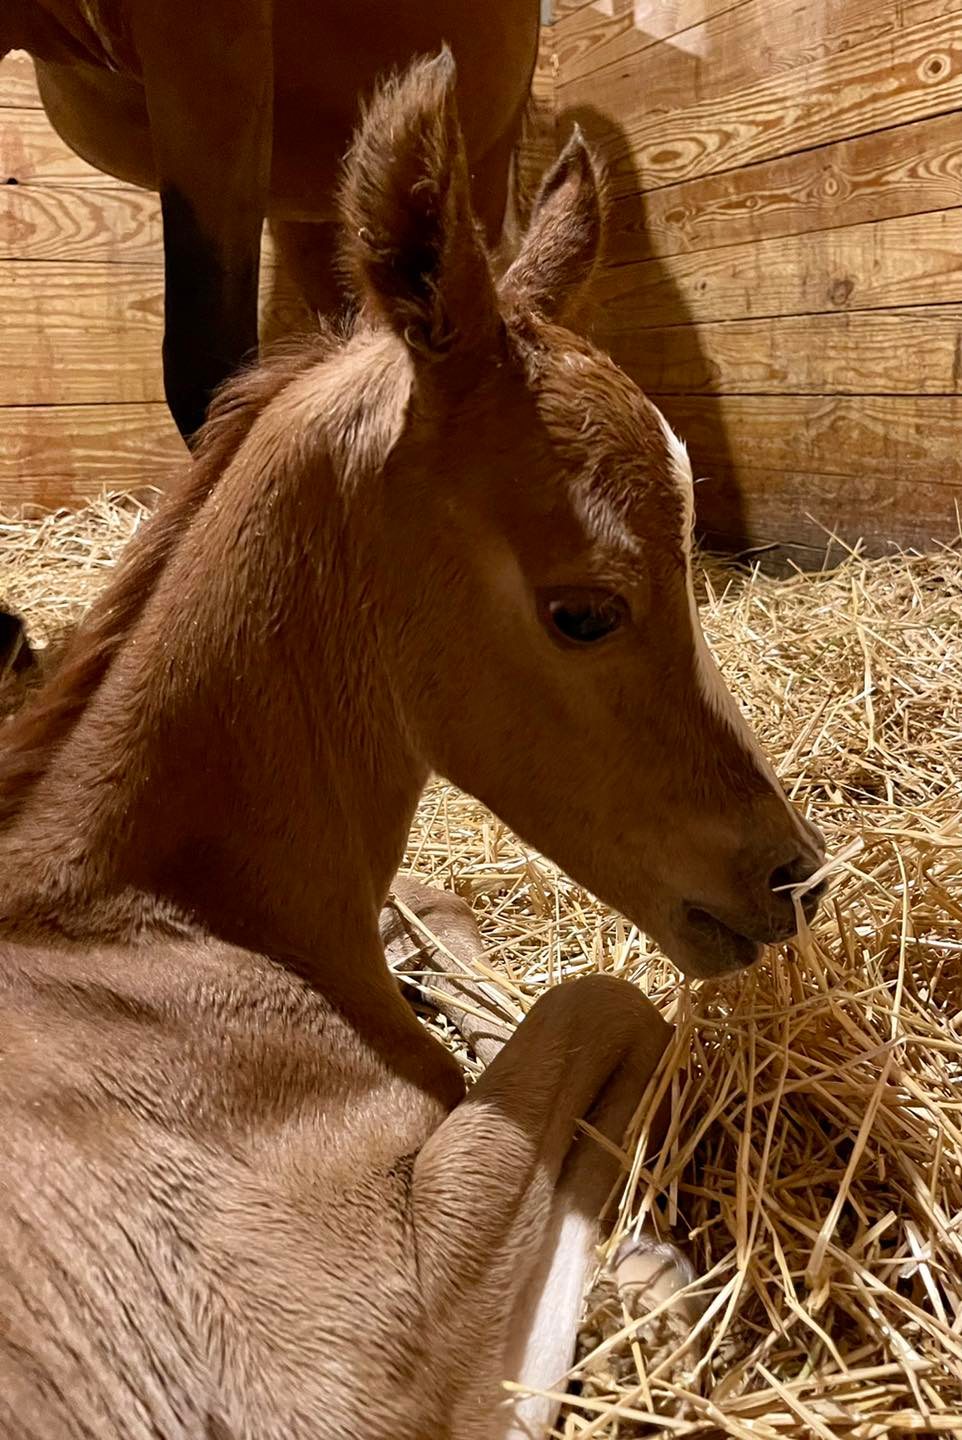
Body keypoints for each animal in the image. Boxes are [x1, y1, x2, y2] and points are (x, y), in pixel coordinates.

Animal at [0, 54, 825, 1439]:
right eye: (581, 610)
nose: (790, 875)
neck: (150, 923)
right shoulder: (344, 1359)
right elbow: (601, 998)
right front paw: (649, 1275)